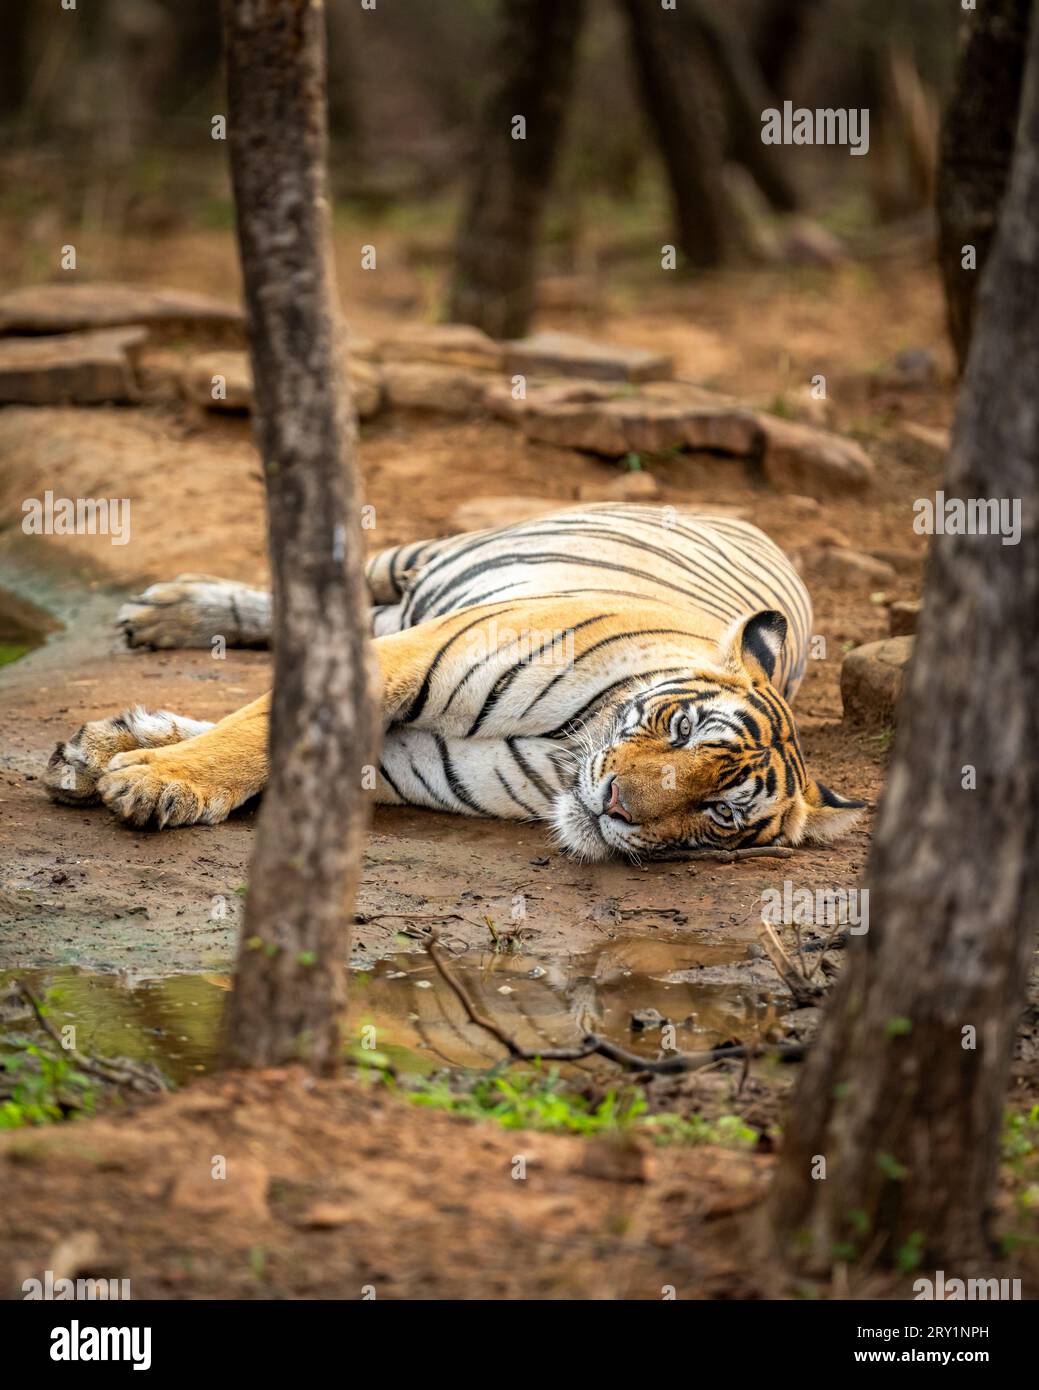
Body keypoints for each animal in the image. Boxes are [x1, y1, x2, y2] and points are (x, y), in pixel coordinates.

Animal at [44, 503, 865, 860]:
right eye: (683, 728)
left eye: (719, 813)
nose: (614, 805)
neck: (561, 750)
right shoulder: (411, 654)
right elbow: (252, 731)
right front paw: (154, 779)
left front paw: (117, 758)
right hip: (427, 558)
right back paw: (171, 612)